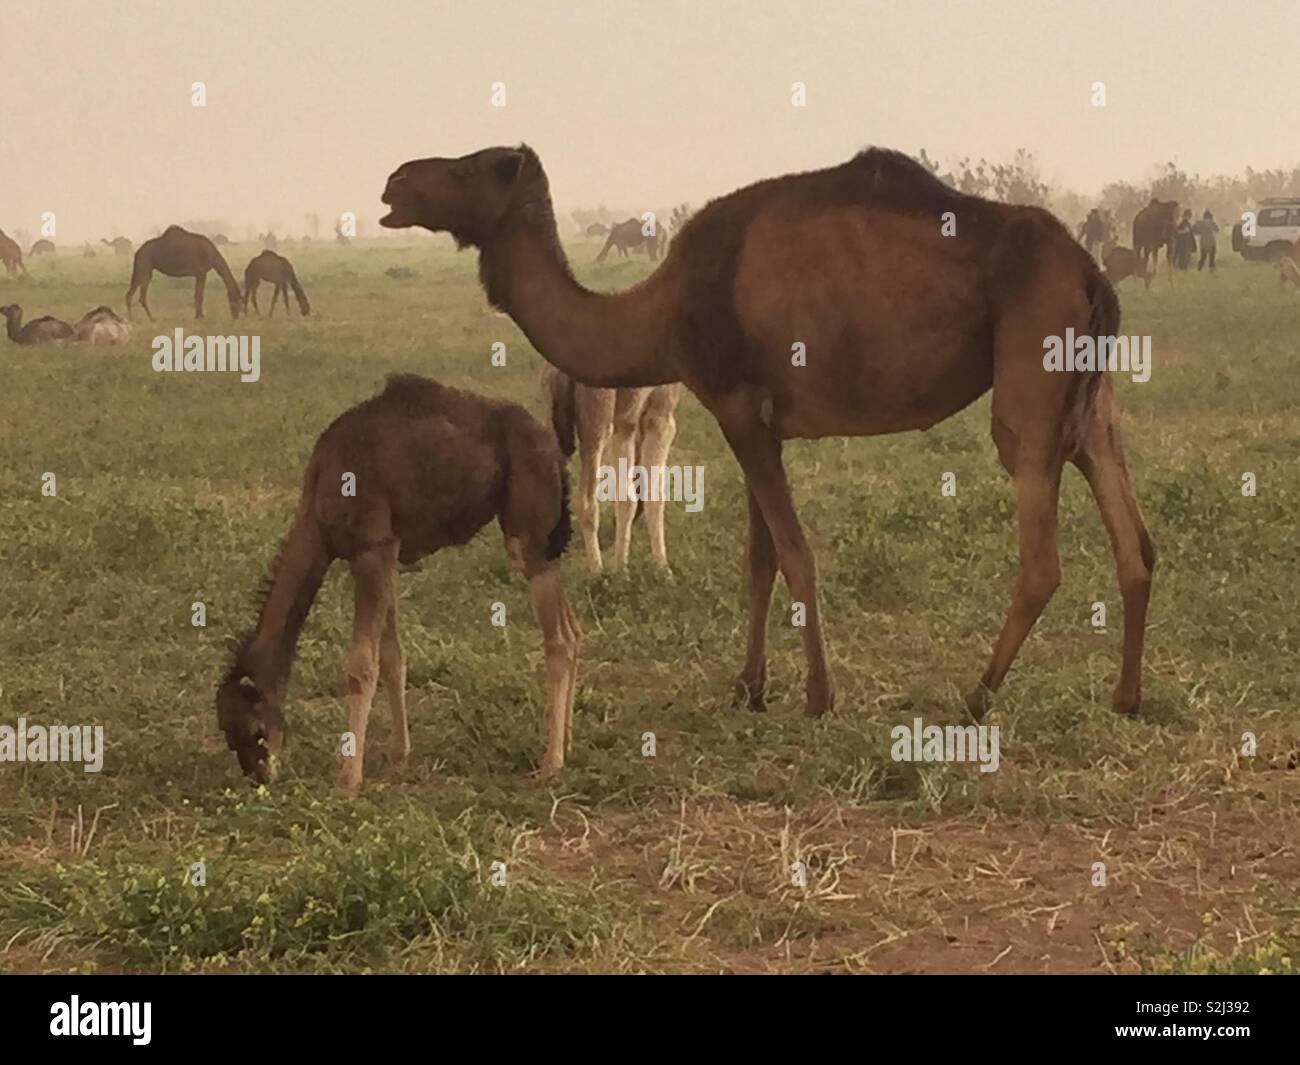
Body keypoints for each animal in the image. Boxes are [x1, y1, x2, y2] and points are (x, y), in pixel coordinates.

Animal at [216, 374, 580, 791]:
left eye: (253, 730)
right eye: (228, 734)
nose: (260, 776)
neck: (319, 500)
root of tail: (553, 450)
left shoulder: (372, 547)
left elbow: (361, 663)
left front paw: (348, 779)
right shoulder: (384, 553)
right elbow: (391, 657)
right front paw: (397, 756)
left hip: (527, 532)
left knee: (559, 639)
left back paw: (551, 762)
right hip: (543, 543)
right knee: (574, 629)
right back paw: (567, 742)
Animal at [545, 366, 681, 571]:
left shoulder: (658, 415)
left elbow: (652, 496)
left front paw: (663, 569)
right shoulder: (628, 416)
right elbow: (628, 499)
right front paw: (621, 569)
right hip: (597, 415)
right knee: (585, 499)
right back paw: (596, 569)